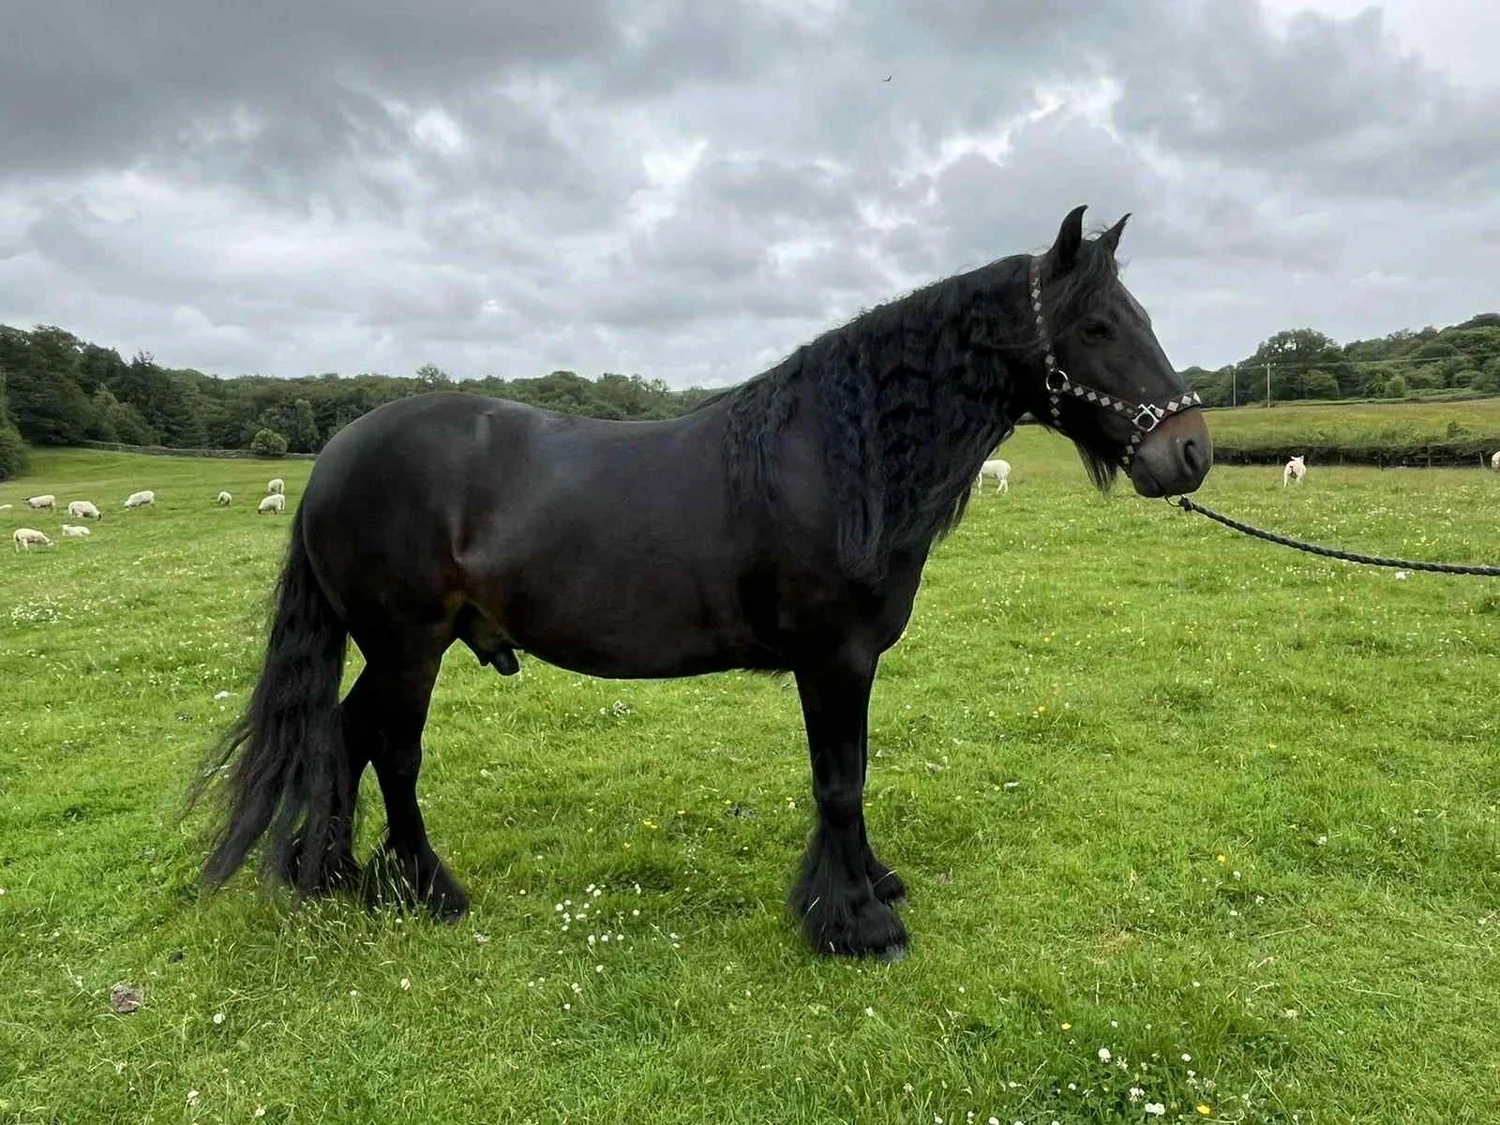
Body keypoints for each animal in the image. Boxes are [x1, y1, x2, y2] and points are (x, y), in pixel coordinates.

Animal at [196, 205, 1211, 959]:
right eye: (1096, 325)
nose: (1191, 451)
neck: (834, 459)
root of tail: (334, 455)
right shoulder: (833, 659)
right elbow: (838, 781)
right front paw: (857, 922)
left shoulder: (850, 665)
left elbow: (851, 774)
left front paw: (868, 883)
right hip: (408, 645)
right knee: (393, 751)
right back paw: (426, 889)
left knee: (343, 734)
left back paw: (334, 876)